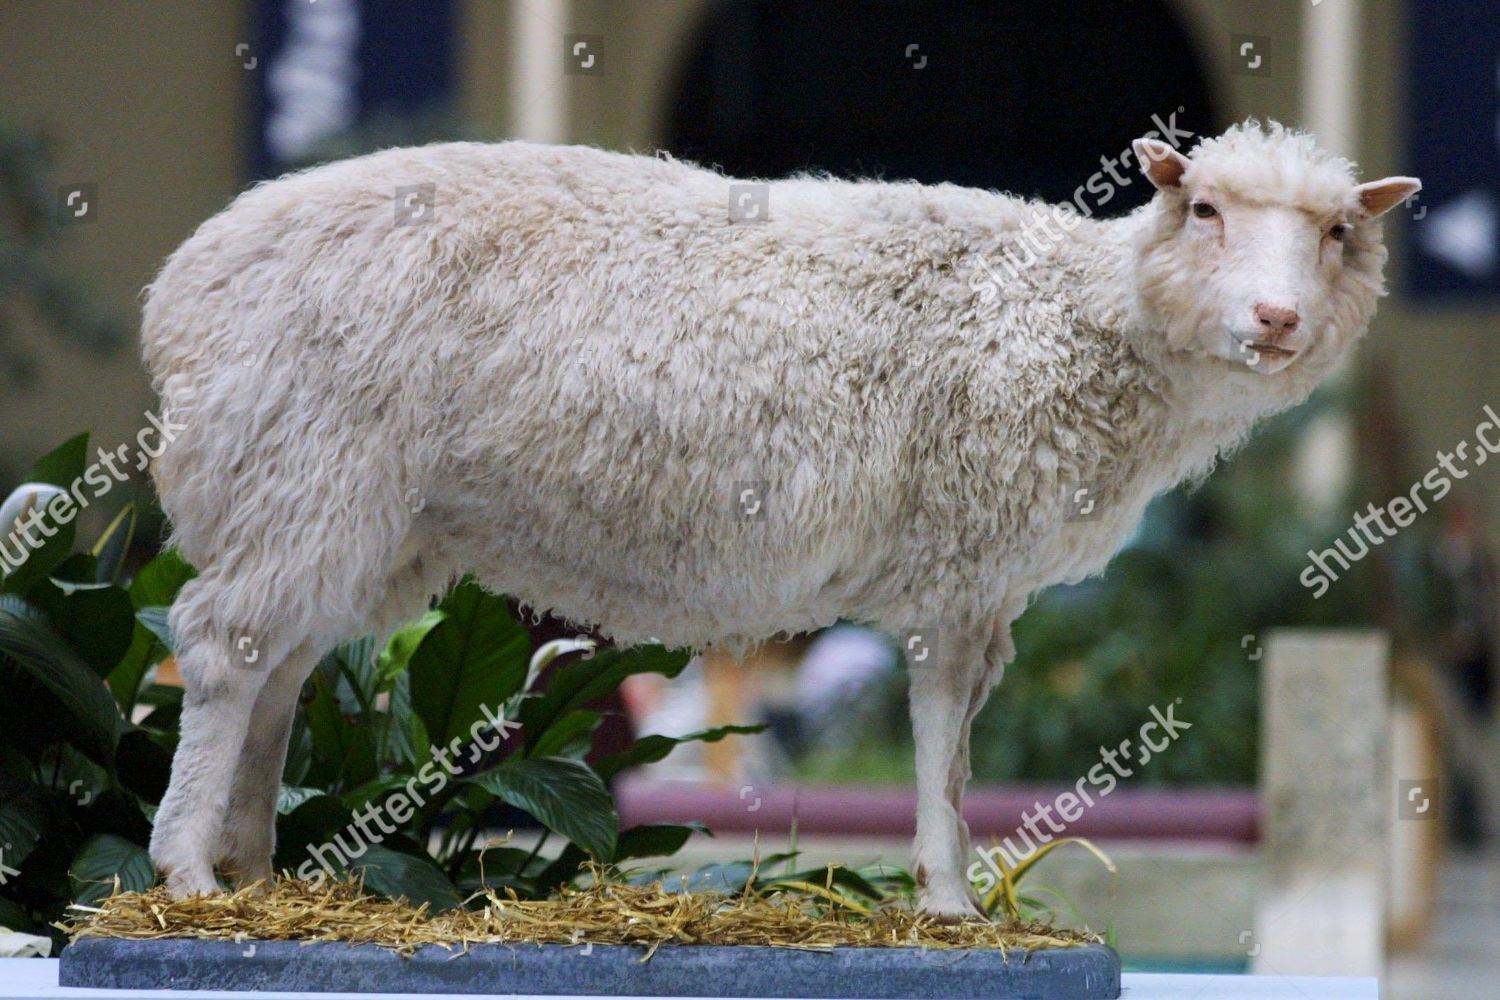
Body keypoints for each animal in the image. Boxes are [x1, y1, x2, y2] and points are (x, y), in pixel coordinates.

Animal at [142, 120, 1419, 917]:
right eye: (1202, 208)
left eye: (1339, 235)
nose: (1276, 319)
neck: (1076, 321)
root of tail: (182, 287)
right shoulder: (959, 556)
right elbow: (938, 731)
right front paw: (948, 899)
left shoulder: (985, 578)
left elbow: (961, 744)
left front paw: (954, 887)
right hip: (304, 464)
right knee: (223, 650)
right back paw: (185, 871)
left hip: (351, 510)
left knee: (281, 662)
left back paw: (253, 868)